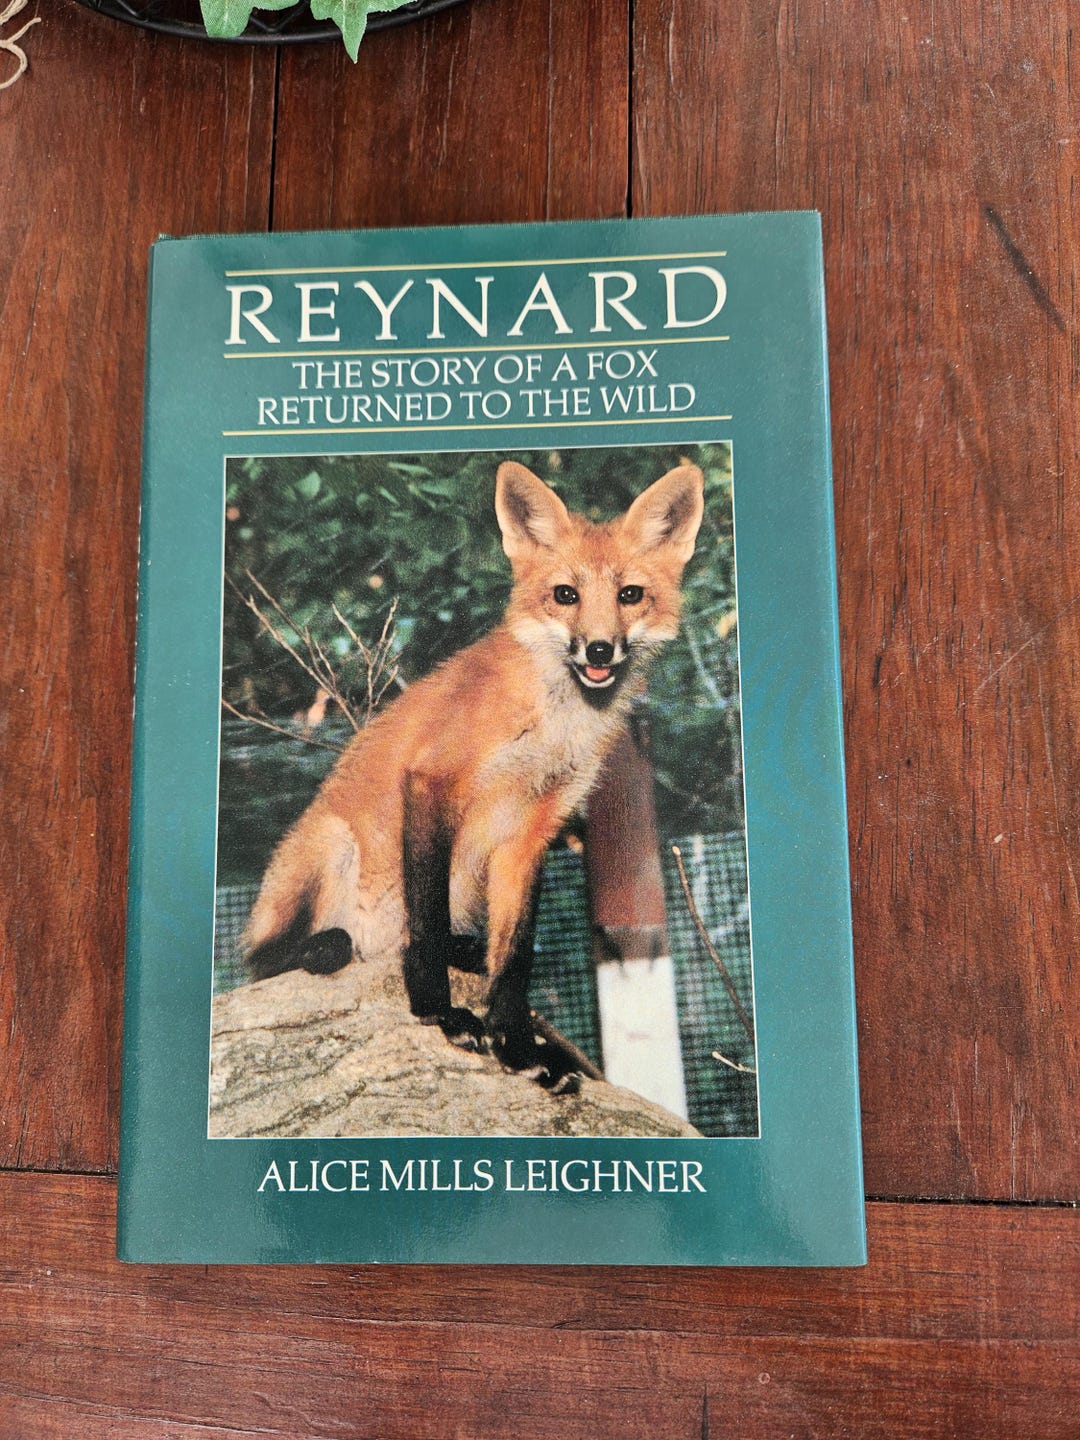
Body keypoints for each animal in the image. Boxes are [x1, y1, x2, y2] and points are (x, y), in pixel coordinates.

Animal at [243, 459, 705, 1090]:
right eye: (565, 595)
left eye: (630, 595)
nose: (599, 650)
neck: (552, 723)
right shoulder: (430, 781)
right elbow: (428, 926)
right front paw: (438, 1012)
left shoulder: (531, 833)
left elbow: (515, 957)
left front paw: (515, 1044)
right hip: (328, 844)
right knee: (262, 963)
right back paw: (319, 949)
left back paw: (466, 956)